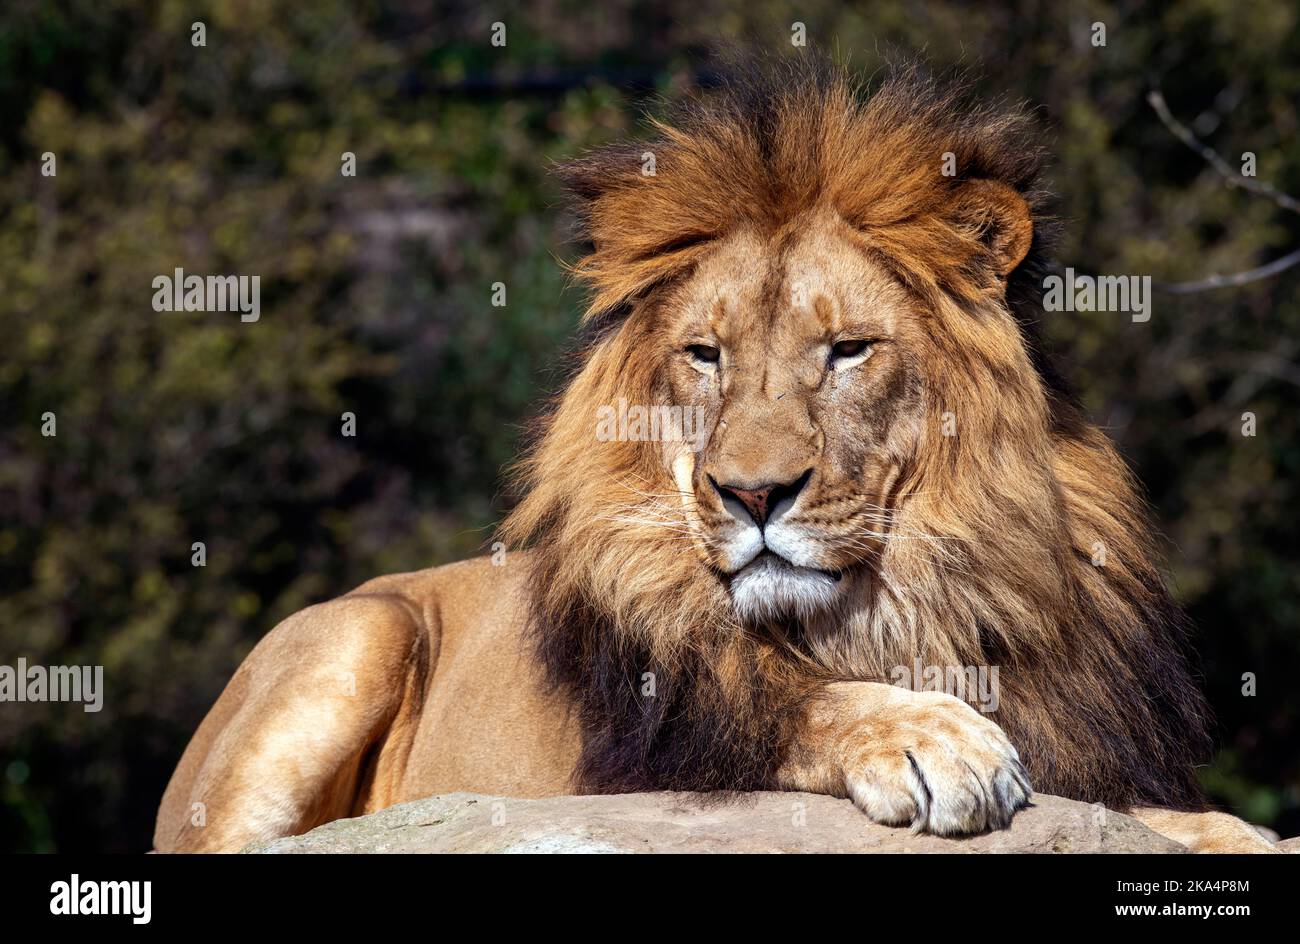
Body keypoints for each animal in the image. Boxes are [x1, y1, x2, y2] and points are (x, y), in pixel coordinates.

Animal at [154, 57, 1277, 853]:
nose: (752, 493)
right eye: (705, 355)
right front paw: (932, 738)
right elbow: (799, 702)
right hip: (352, 638)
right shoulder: (651, 756)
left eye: (848, 349)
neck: (906, 603)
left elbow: (1174, 816)